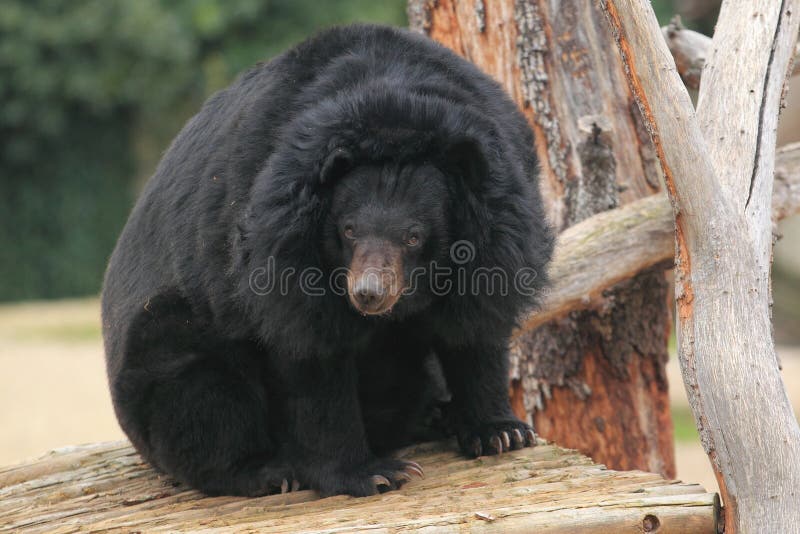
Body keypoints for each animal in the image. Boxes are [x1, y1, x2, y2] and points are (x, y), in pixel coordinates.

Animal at [102, 24, 554, 498]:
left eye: (414, 236)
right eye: (349, 229)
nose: (369, 293)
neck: (392, 102)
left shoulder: (500, 220)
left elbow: (473, 327)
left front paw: (501, 432)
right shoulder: (276, 241)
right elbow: (313, 357)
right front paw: (373, 473)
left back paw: (435, 415)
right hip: (165, 344)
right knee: (204, 393)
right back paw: (267, 470)